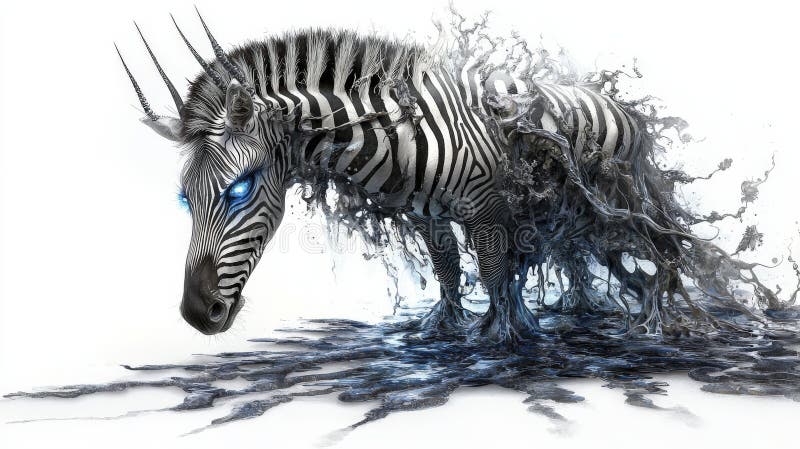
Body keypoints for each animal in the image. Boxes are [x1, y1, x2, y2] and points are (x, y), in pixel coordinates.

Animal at [117, 12, 646, 343]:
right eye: (185, 200)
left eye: (240, 187)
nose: (195, 314)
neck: (402, 134)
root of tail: (612, 103)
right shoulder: (429, 217)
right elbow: (448, 273)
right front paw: (446, 330)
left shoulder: (487, 211)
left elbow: (494, 276)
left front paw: (501, 338)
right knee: (576, 255)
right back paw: (584, 306)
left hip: (604, 203)